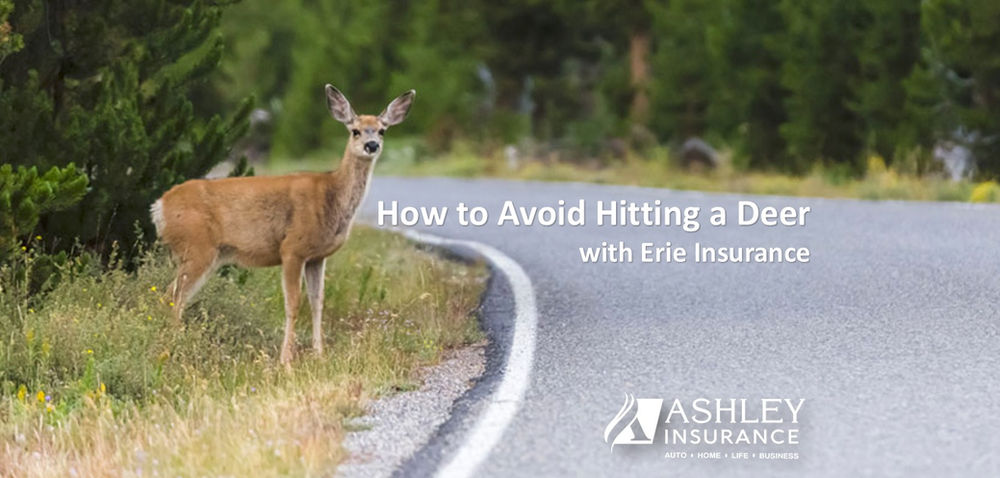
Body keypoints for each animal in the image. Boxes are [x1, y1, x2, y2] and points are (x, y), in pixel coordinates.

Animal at [150, 85, 415, 365]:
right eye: (355, 130)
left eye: (382, 129)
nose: (371, 145)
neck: (331, 196)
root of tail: (159, 206)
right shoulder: (292, 249)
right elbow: (293, 303)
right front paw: (286, 359)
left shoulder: (317, 257)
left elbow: (317, 302)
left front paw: (319, 355)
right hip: (196, 246)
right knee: (172, 295)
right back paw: (175, 346)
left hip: (207, 254)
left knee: (174, 296)